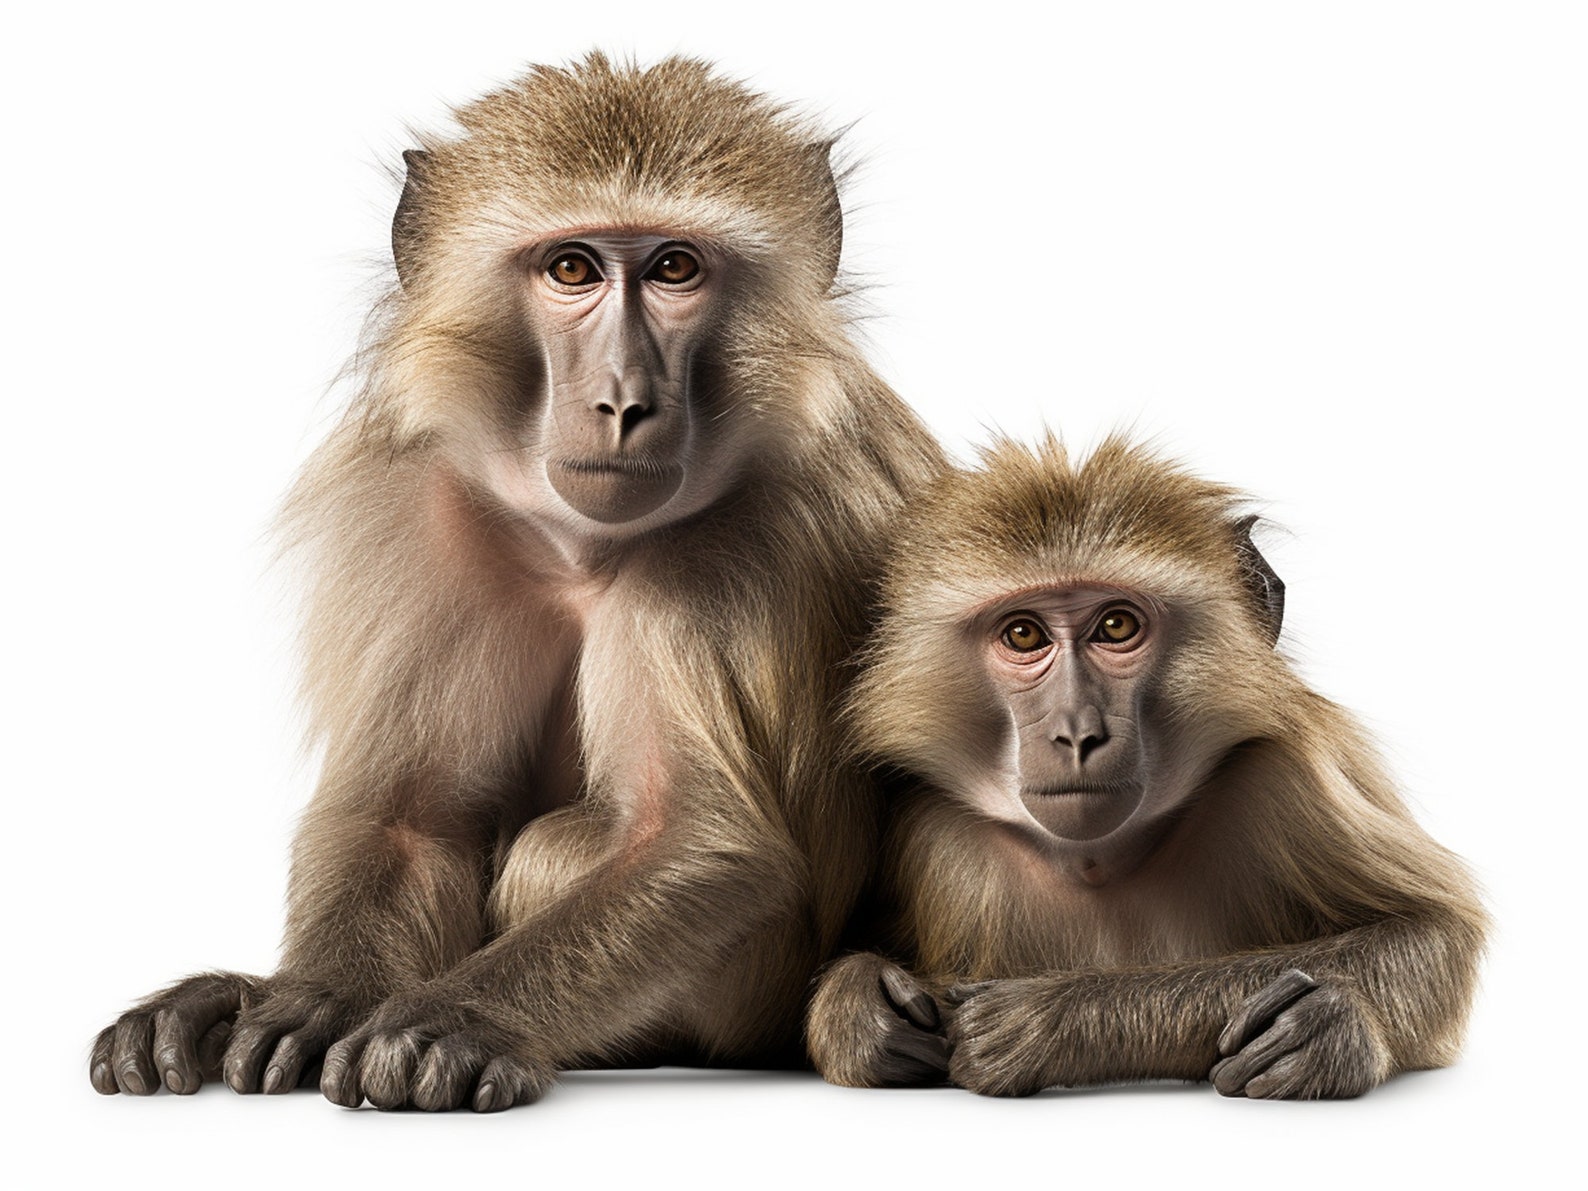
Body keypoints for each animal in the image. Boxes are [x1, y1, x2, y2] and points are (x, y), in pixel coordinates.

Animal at [89, 53, 943, 1112]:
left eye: (675, 268)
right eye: (571, 269)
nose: (622, 402)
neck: (584, 550)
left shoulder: (738, 548)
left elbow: (702, 841)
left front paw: (458, 1018)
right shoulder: (432, 528)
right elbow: (408, 818)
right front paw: (310, 995)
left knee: (556, 853)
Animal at [806, 436, 1486, 1099]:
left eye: (1117, 625)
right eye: (1024, 635)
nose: (1077, 732)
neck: (1099, 861)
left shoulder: (1288, 780)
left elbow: (1432, 934)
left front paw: (1046, 1019)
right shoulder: (931, 827)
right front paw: (861, 1005)